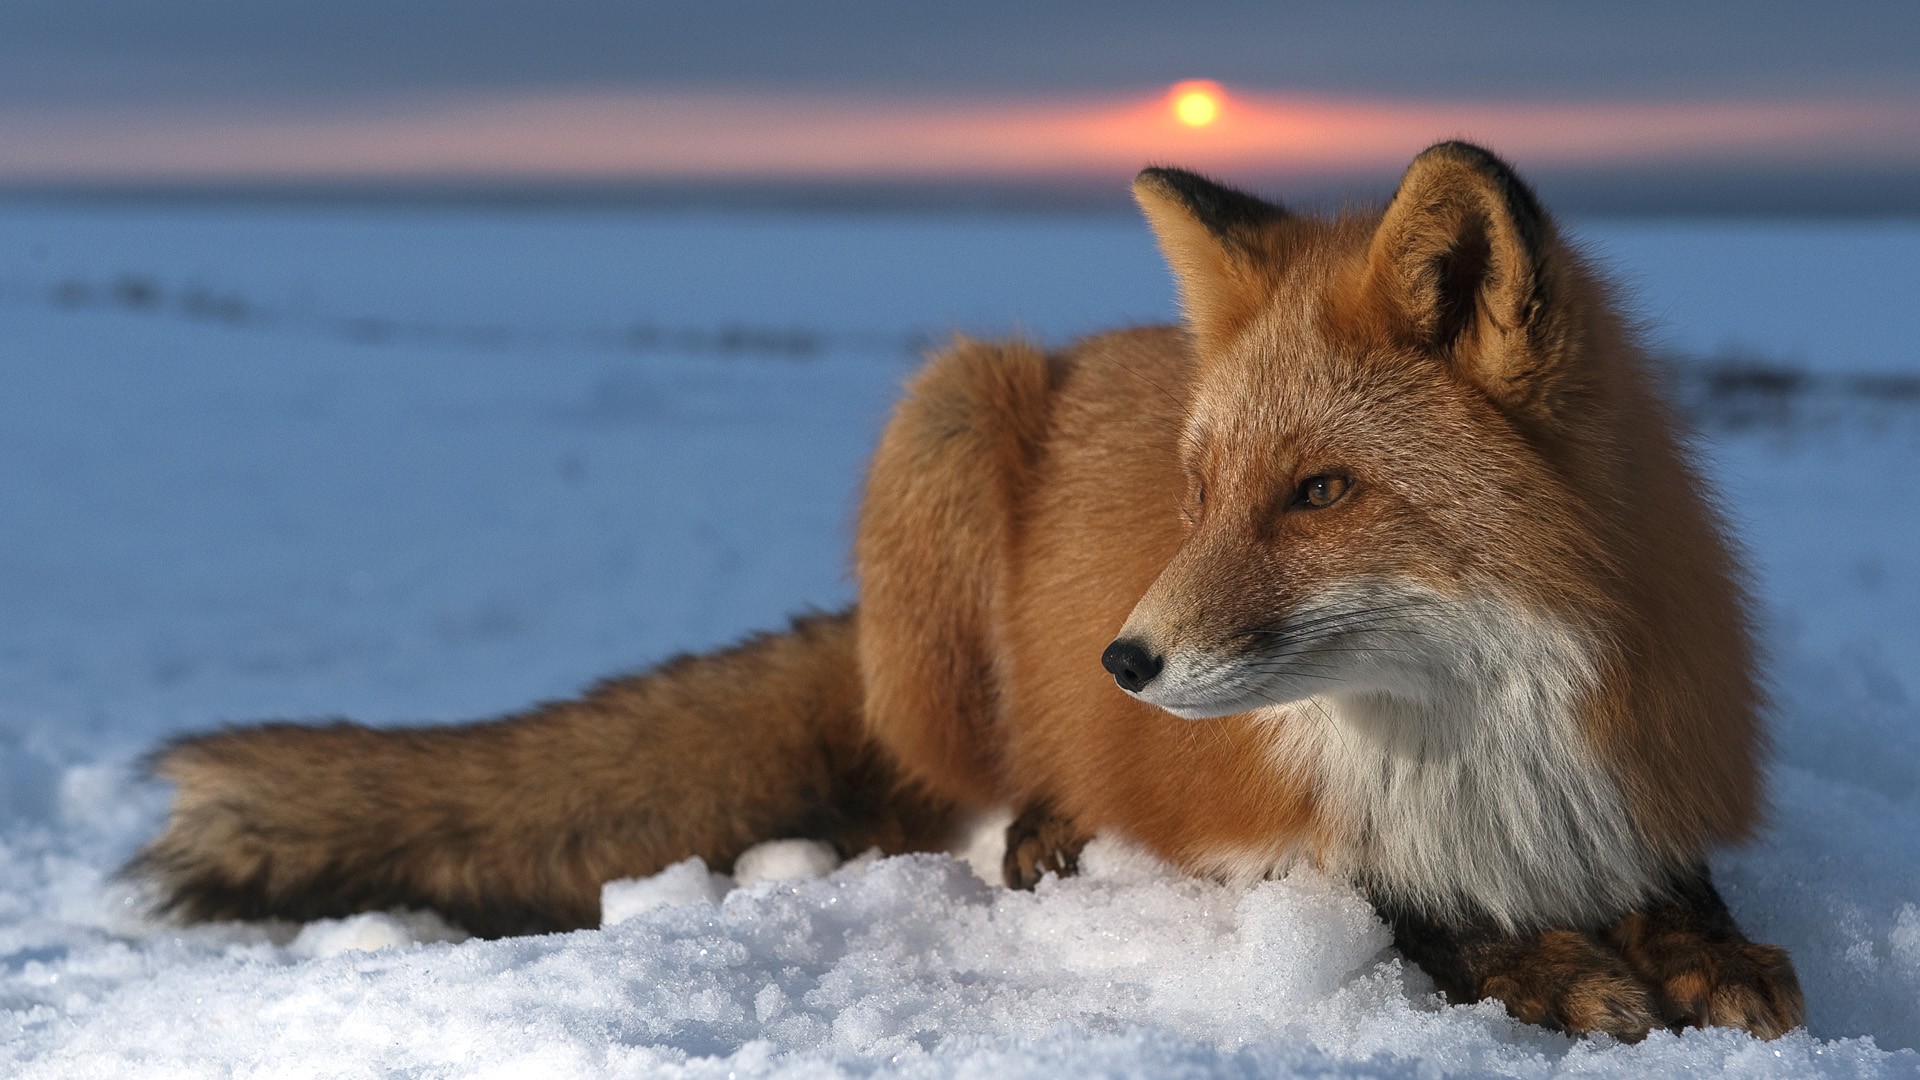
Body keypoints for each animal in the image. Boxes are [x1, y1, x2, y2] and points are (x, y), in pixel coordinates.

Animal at [132, 141, 1803, 1041]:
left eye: (1322, 492)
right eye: (1199, 493)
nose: (1123, 661)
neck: (1477, 744)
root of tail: (1089, 346)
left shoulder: (1639, 779)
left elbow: (1687, 893)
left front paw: (1704, 955)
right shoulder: (1274, 837)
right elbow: (1411, 912)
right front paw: (1555, 969)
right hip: (945, 418)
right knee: (926, 795)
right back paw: (1040, 826)